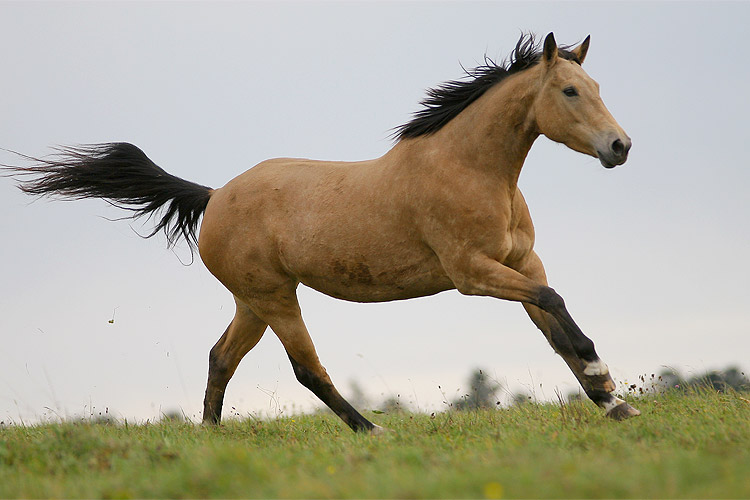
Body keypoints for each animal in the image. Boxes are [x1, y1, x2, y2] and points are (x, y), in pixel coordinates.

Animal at [3, 32, 638, 432]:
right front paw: (604, 381)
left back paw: (209, 439)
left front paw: (613, 404)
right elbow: (554, 306)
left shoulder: (522, 264)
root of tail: (214, 196)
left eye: (598, 87)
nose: (620, 147)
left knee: (220, 357)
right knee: (306, 369)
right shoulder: (472, 273)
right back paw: (372, 429)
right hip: (276, 297)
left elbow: (554, 326)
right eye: (569, 91)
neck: (472, 169)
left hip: (253, 301)